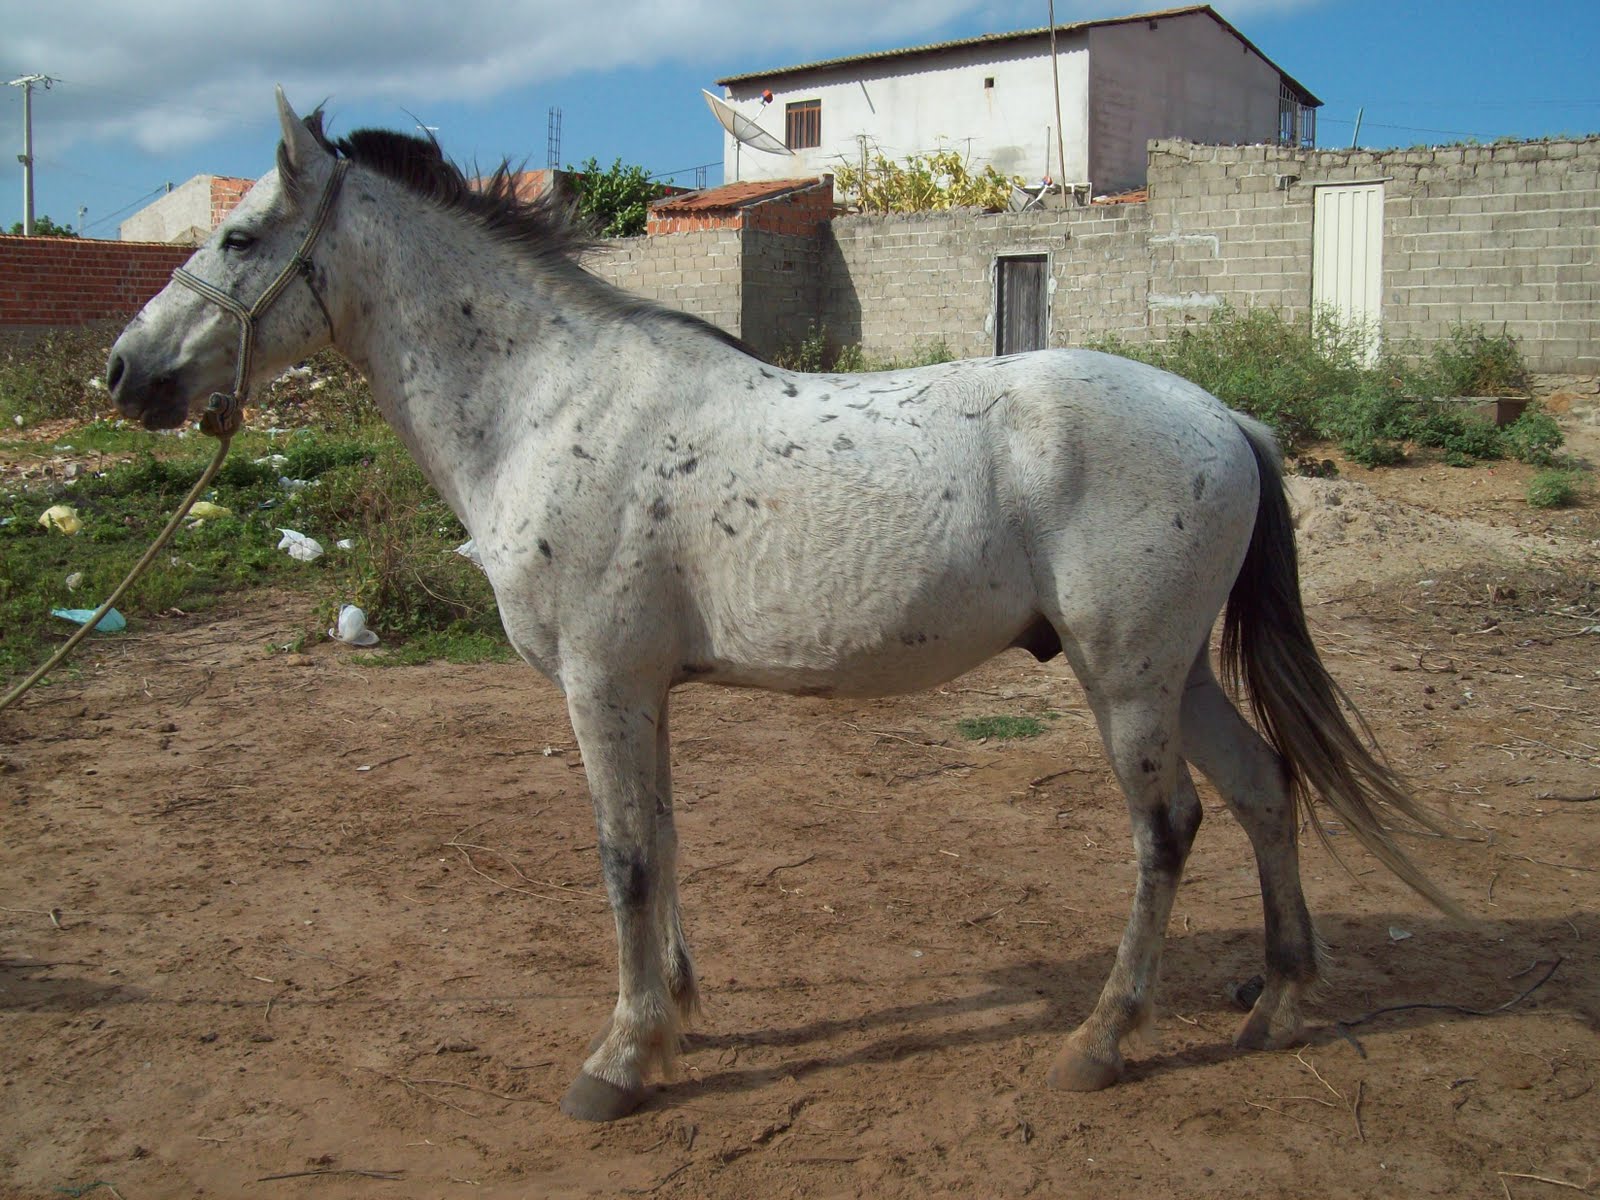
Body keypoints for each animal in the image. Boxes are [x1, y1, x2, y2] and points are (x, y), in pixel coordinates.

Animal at [107, 90, 1457, 1122]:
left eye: (240, 239)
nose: (125, 375)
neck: (549, 399)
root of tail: (1224, 417)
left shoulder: (600, 685)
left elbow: (624, 858)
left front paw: (618, 1063)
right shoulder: (639, 692)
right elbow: (660, 846)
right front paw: (673, 1023)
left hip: (1124, 678)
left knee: (1168, 827)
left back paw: (1102, 1040)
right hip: (1174, 672)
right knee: (1264, 790)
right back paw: (1276, 1003)